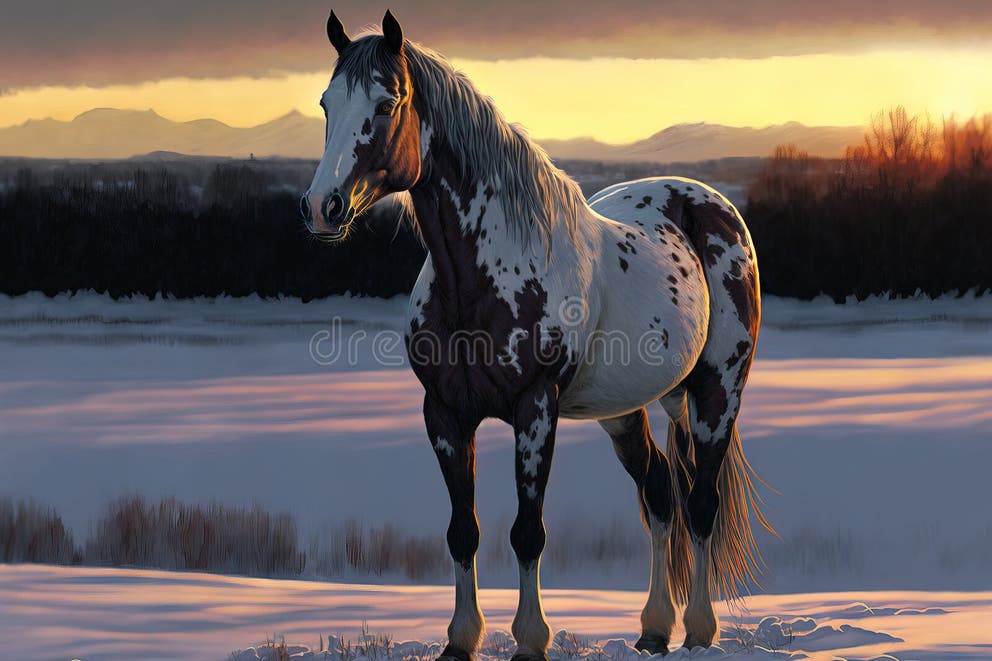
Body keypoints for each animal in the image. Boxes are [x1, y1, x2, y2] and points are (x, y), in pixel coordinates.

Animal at [303, 10, 771, 658]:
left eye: (387, 100)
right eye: (327, 103)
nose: (322, 207)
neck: (480, 275)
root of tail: (710, 206)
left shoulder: (535, 408)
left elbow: (527, 532)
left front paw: (531, 639)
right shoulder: (444, 413)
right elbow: (463, 531)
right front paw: (460, 640)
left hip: (718, 393)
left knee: (702, 503)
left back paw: (700, 630)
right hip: (626, 408)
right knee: (659, 494)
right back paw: (654, 628)